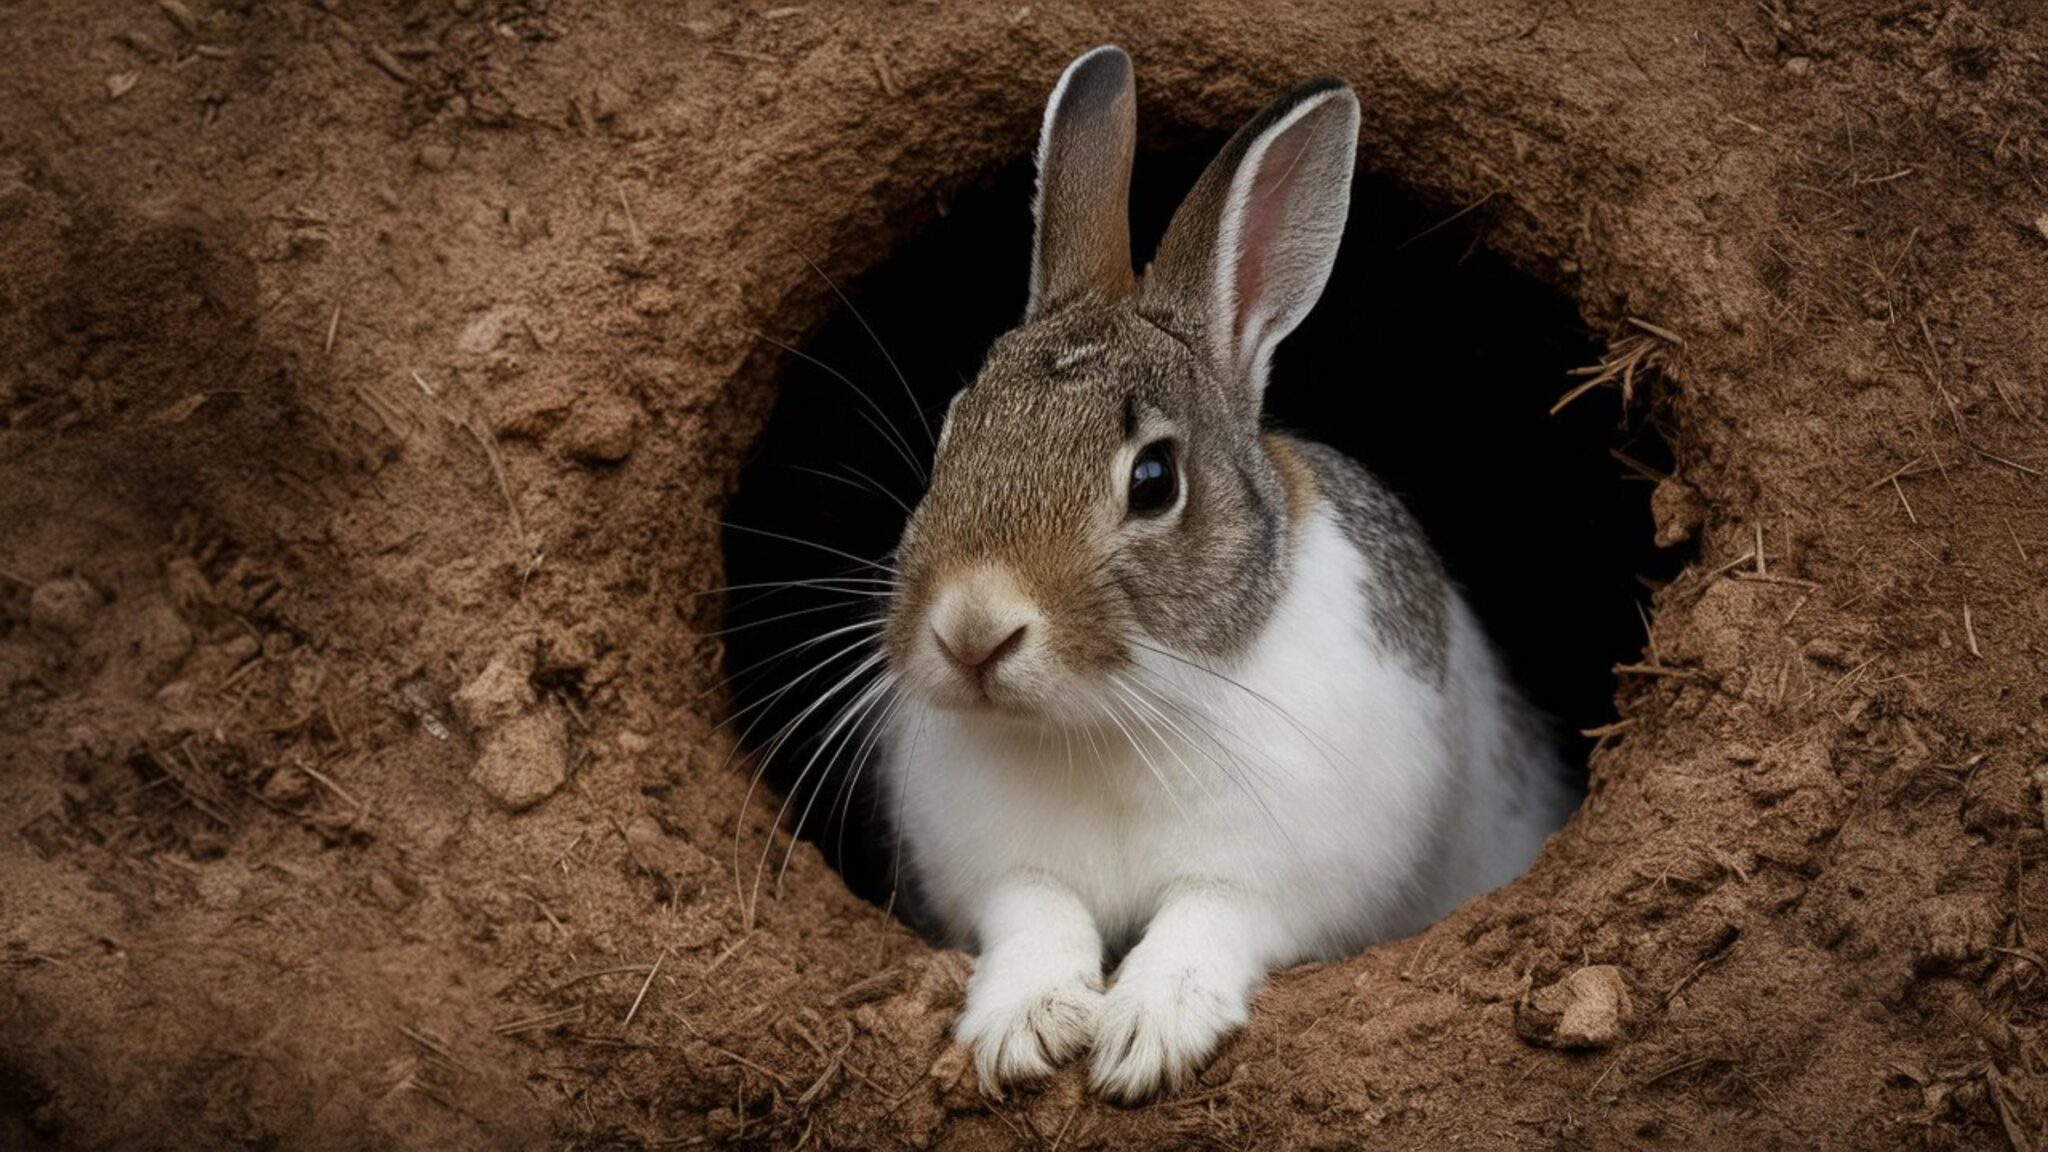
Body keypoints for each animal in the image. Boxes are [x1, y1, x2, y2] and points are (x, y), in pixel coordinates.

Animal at [872, 45, 1576, 1103]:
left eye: (1154, 481)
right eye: (954, 432)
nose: (972, 633)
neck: (1112, 714)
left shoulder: (1272, 879)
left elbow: (1204, 925)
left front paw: (1144, 1038)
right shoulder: (1007, 873)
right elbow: (1036, 919)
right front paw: (1023, 1031)